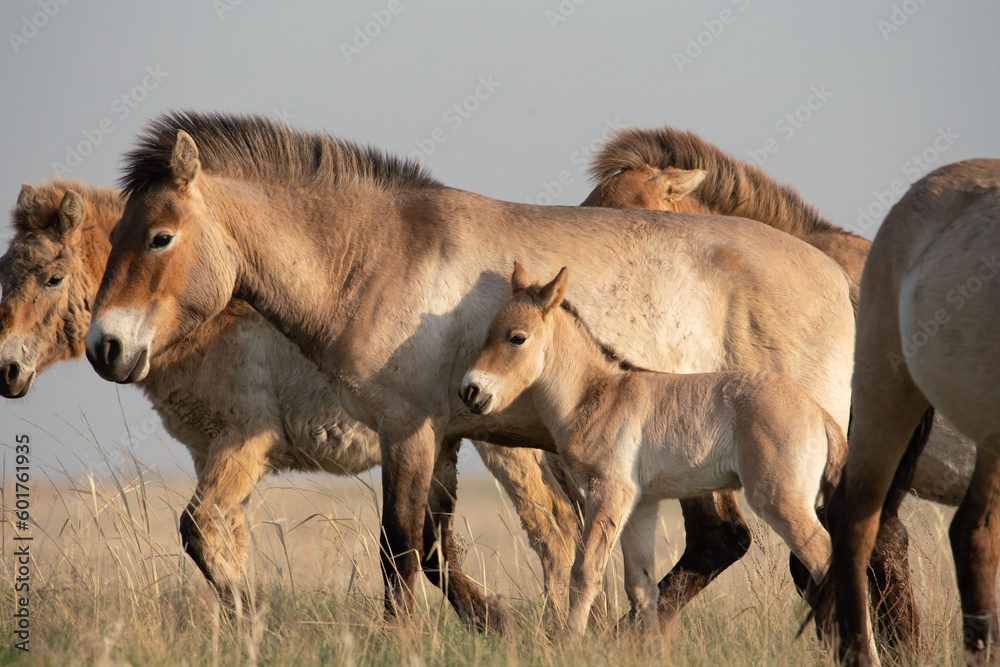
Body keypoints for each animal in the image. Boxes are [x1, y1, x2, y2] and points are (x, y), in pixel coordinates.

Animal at [0, 179, 591, 633]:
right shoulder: (210, 453)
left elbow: (200, 527)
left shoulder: (244, 443)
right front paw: (246, 627)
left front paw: (252, 619)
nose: (6, 369)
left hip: (502, 448)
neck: (214, 320)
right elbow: (225, 540)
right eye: (5, 274)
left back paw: (547, 628)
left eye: (52, 278)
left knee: (555, 529)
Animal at [461, 262, 850, 640]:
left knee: (826, 563)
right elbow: (642, 587)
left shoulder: (608, 491)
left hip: (781, 502)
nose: (470, 392)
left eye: (517, 337)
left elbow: (585, 573)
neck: (598, 395)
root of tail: (819, 414)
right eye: (487, 332)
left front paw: (570, 643)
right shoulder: (641, 505)